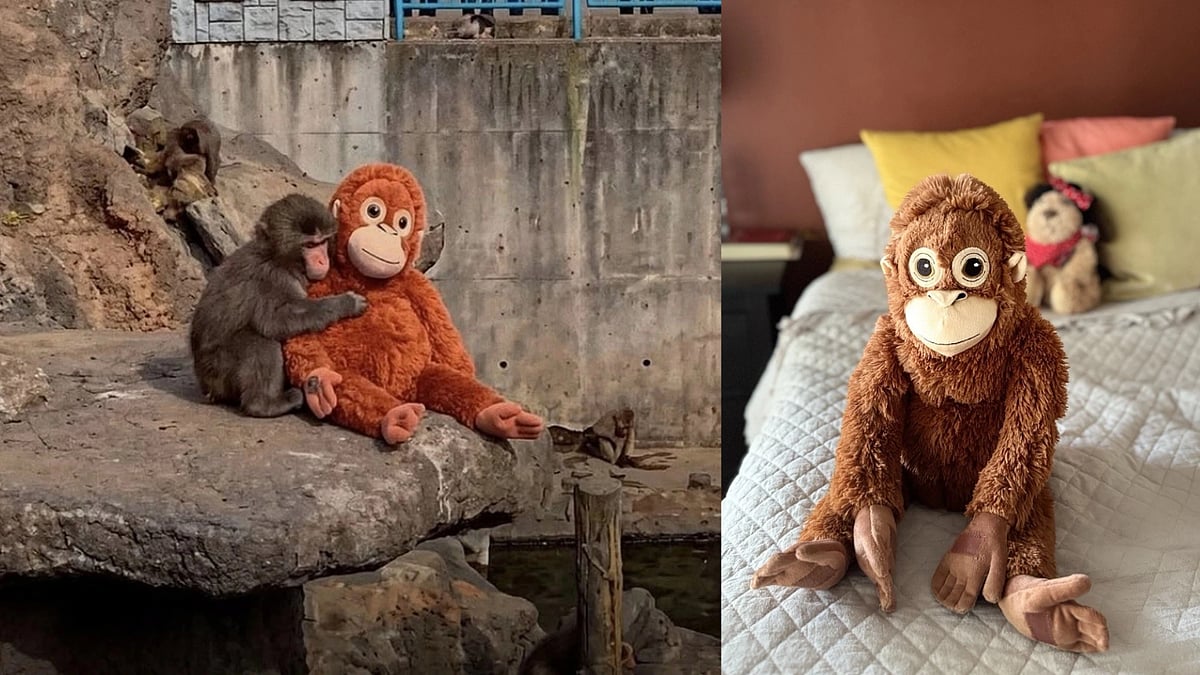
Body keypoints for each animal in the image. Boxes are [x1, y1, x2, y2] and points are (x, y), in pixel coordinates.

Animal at [189, 194, 368, 418]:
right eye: (309, 245)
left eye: (323, 242)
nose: (322, 260)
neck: (278, 258)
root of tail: (205, 384)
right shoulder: (272, 279)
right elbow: (276, 320)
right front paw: (347, 303)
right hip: (218, 369)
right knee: (259, 342)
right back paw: (264, 404)